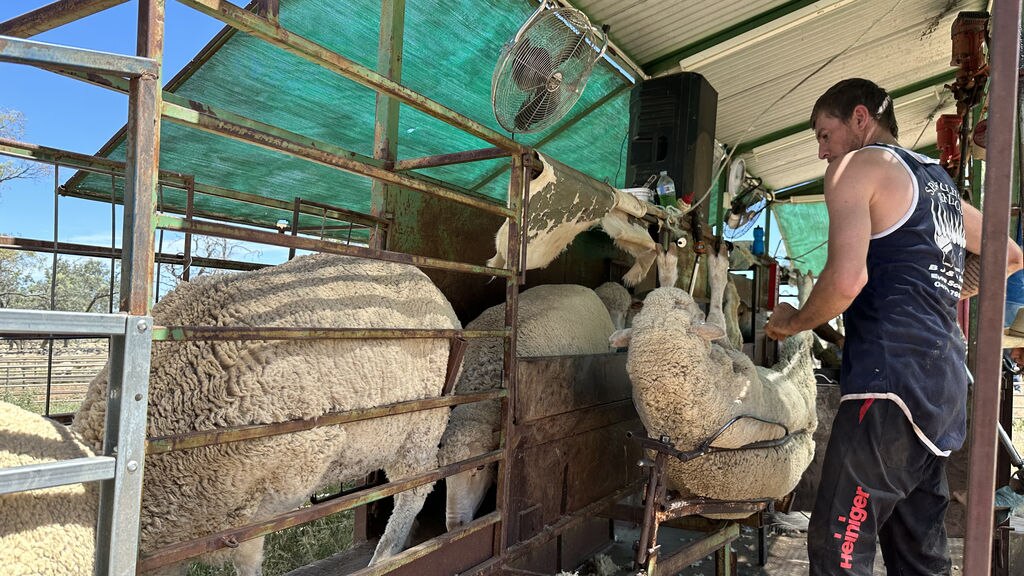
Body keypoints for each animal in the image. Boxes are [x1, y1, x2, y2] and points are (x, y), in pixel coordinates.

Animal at [17, 253, 462, 576]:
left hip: (420, 428)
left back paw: (385, 555)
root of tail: (431, 287)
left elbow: (248, 558)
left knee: (414, 489)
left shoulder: (276, 486)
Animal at [610, 245, 817, 511]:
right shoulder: (735, 357)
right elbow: (718, 316)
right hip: (800, 380)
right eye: (692, 309)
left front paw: (667, 269)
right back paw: (803, 284)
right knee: (801, 339)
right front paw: (709, 269)